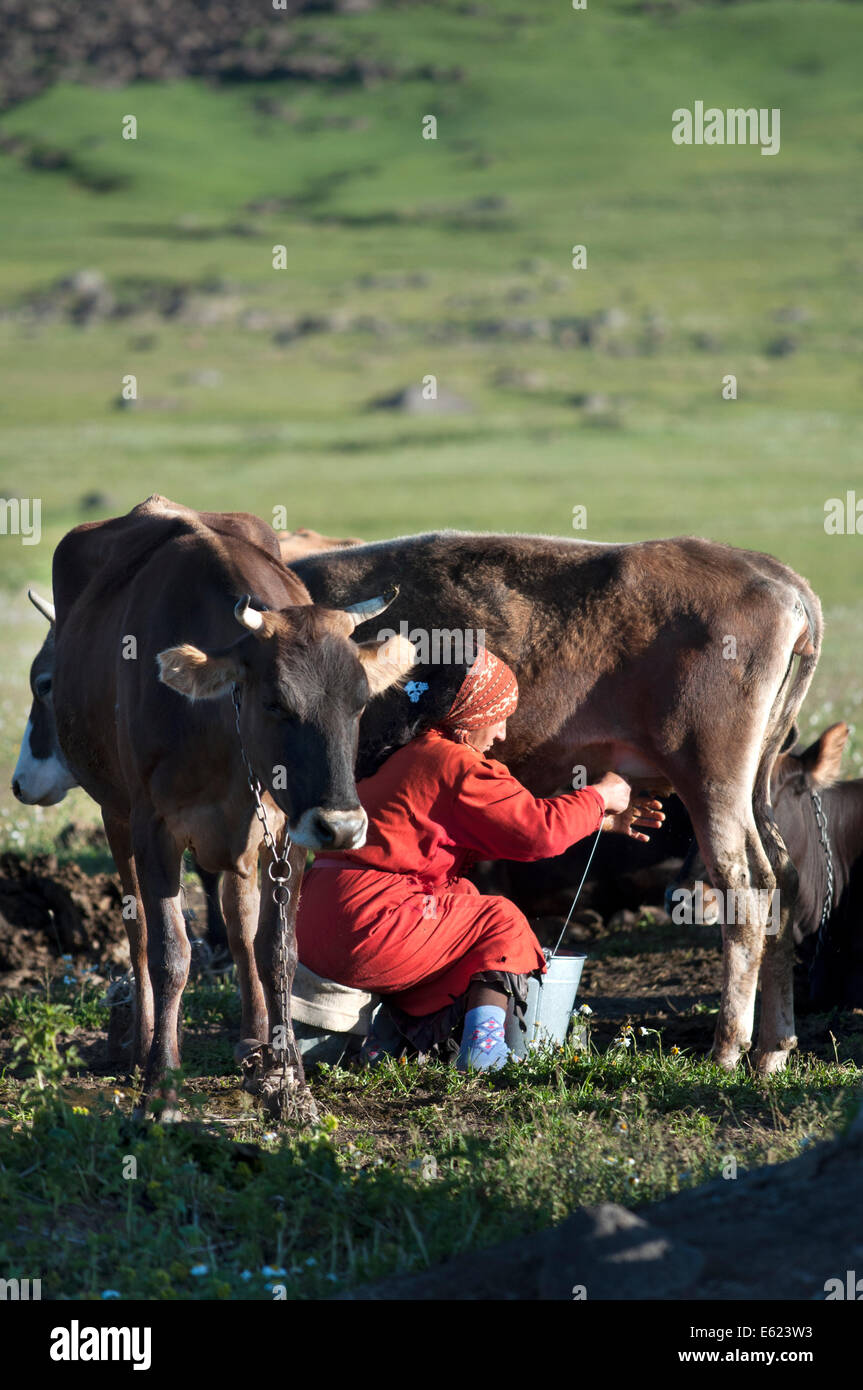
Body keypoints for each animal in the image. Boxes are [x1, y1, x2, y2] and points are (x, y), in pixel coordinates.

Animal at [49, 495, 415, 1113]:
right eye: (276, 702)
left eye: (361, 700)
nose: (342, 827)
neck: (220, 738)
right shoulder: (154, 826)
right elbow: (171, 953)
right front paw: (161, 1085)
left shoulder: (284, 829)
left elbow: (276, 950)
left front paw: (288, 1074)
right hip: (114, 813)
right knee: (139, 933)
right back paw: (140, 1046)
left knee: (242, 931)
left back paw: (252, 1042)